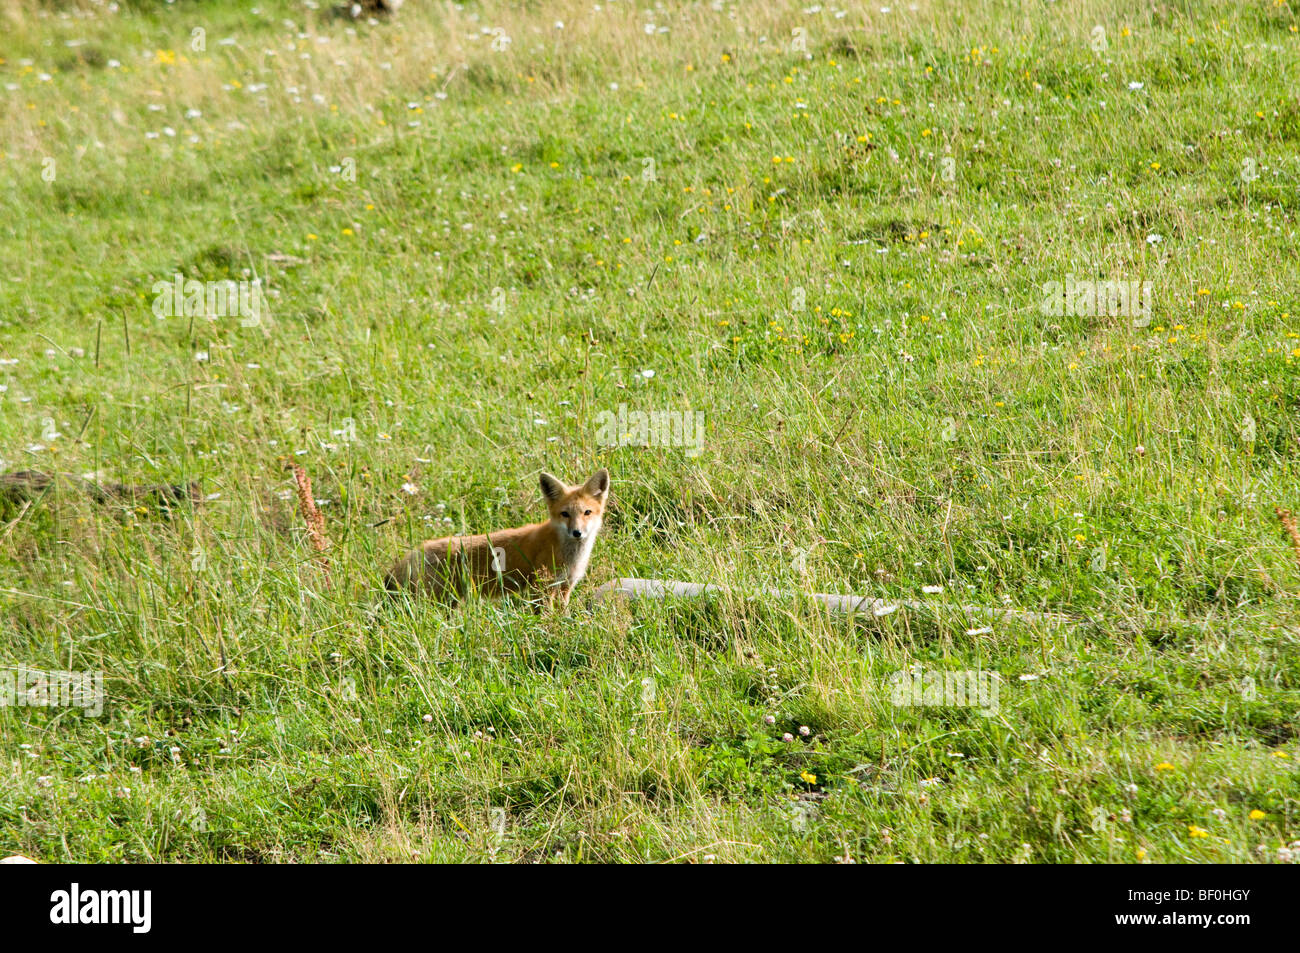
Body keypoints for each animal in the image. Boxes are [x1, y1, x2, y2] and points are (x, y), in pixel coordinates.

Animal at [384, 469, 610, 608]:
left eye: (587, 512)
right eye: (565, 514)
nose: (577, 533)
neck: (568, 554)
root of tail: (414, 553)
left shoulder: (564, 587)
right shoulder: (540, 588)